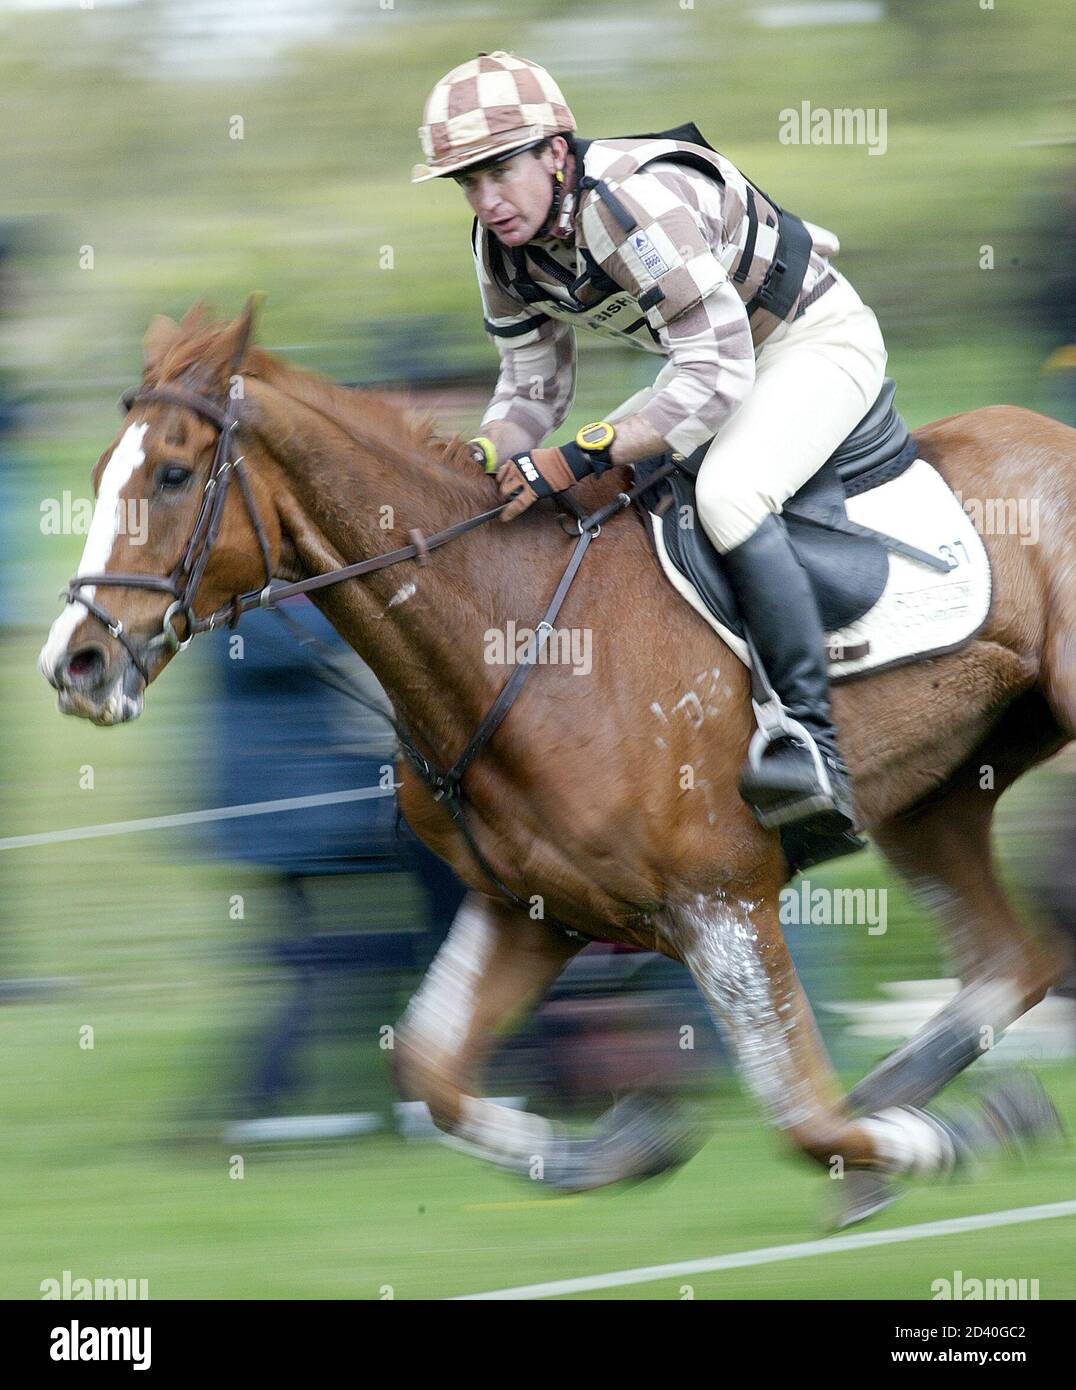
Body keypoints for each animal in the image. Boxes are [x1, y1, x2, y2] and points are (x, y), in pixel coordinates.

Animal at [40, 301, 1075, 1216]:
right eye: (100, 470)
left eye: (175, 475)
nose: (74, 664)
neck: (506, 632)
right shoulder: (530, 910)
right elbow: (431, 1071)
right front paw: (618, 1146)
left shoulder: (722, 902)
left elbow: (802, 1116)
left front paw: (950, 1140)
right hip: (935, 800)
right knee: (1010, 964)